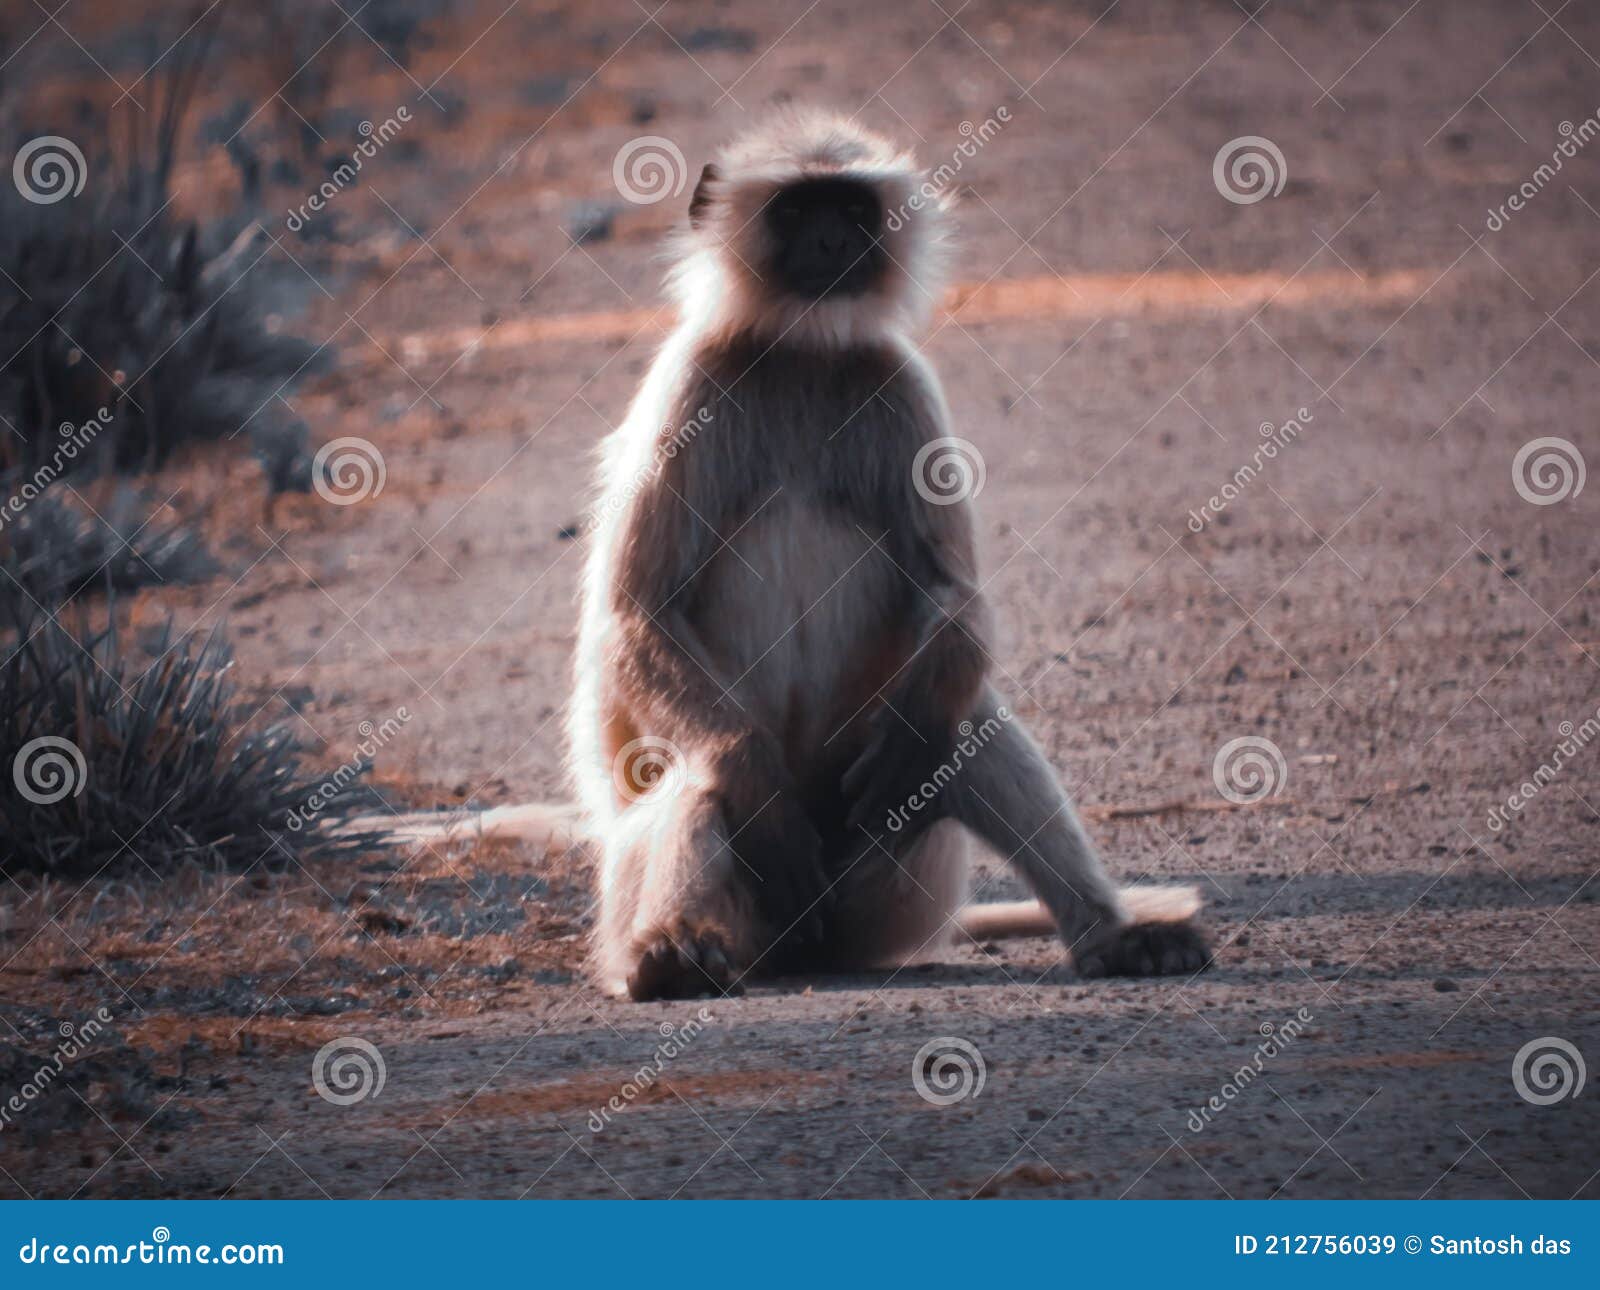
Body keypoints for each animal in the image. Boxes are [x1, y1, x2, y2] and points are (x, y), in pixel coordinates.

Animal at [366, 110, 1211, 1000]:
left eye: (851, 209)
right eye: (800, 210)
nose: (835, 240)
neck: (803, 352)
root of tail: (803, 944)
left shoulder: (898, 383)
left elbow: (954, 600)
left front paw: (918, 720)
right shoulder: (692, 383)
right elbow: (638, 616)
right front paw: (751, 792)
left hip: (888, 886)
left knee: (958, 716)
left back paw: (1113, 933)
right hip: (693, 886)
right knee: (706, 766)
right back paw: (672, 954)